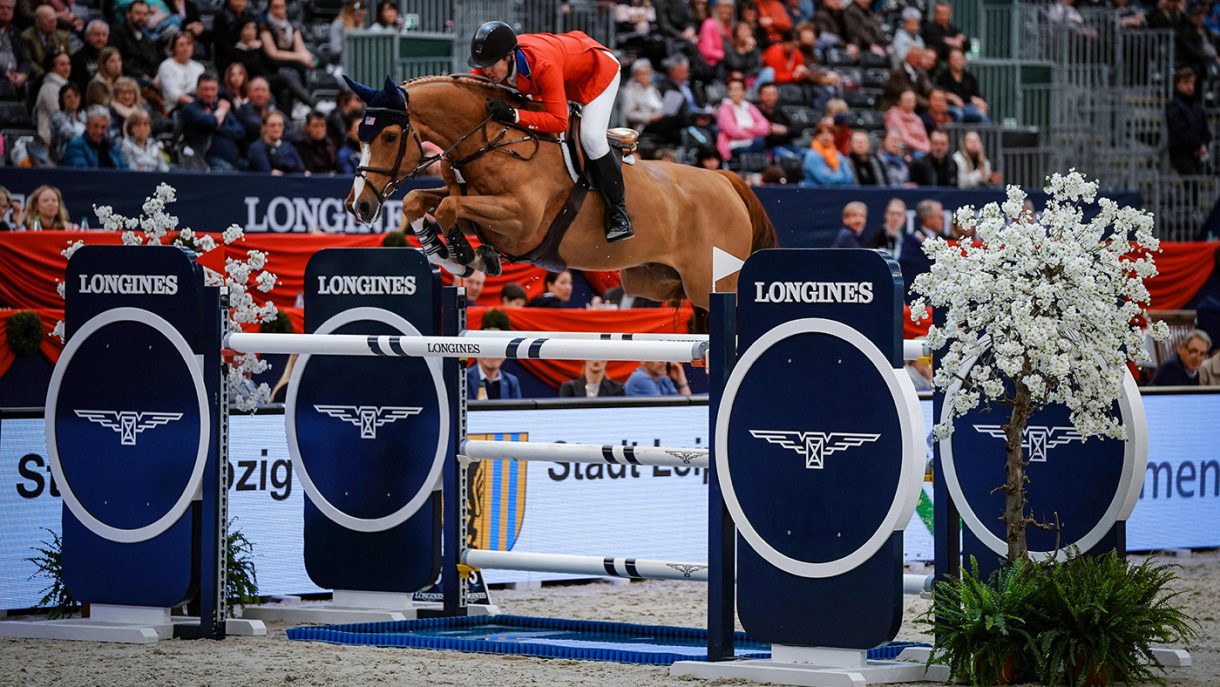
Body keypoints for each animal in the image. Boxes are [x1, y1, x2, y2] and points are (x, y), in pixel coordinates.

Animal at [342, 75, 777, 310]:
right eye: (359, 135)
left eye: (389, 136)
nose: (358, 205)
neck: (492, 139)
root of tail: (727, 181)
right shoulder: (477, 205)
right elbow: (422, 200)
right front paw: (446, 253)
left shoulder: (521, 220)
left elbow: (450, 206)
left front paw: (466, 257)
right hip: (651, 279)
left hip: (712, 282)